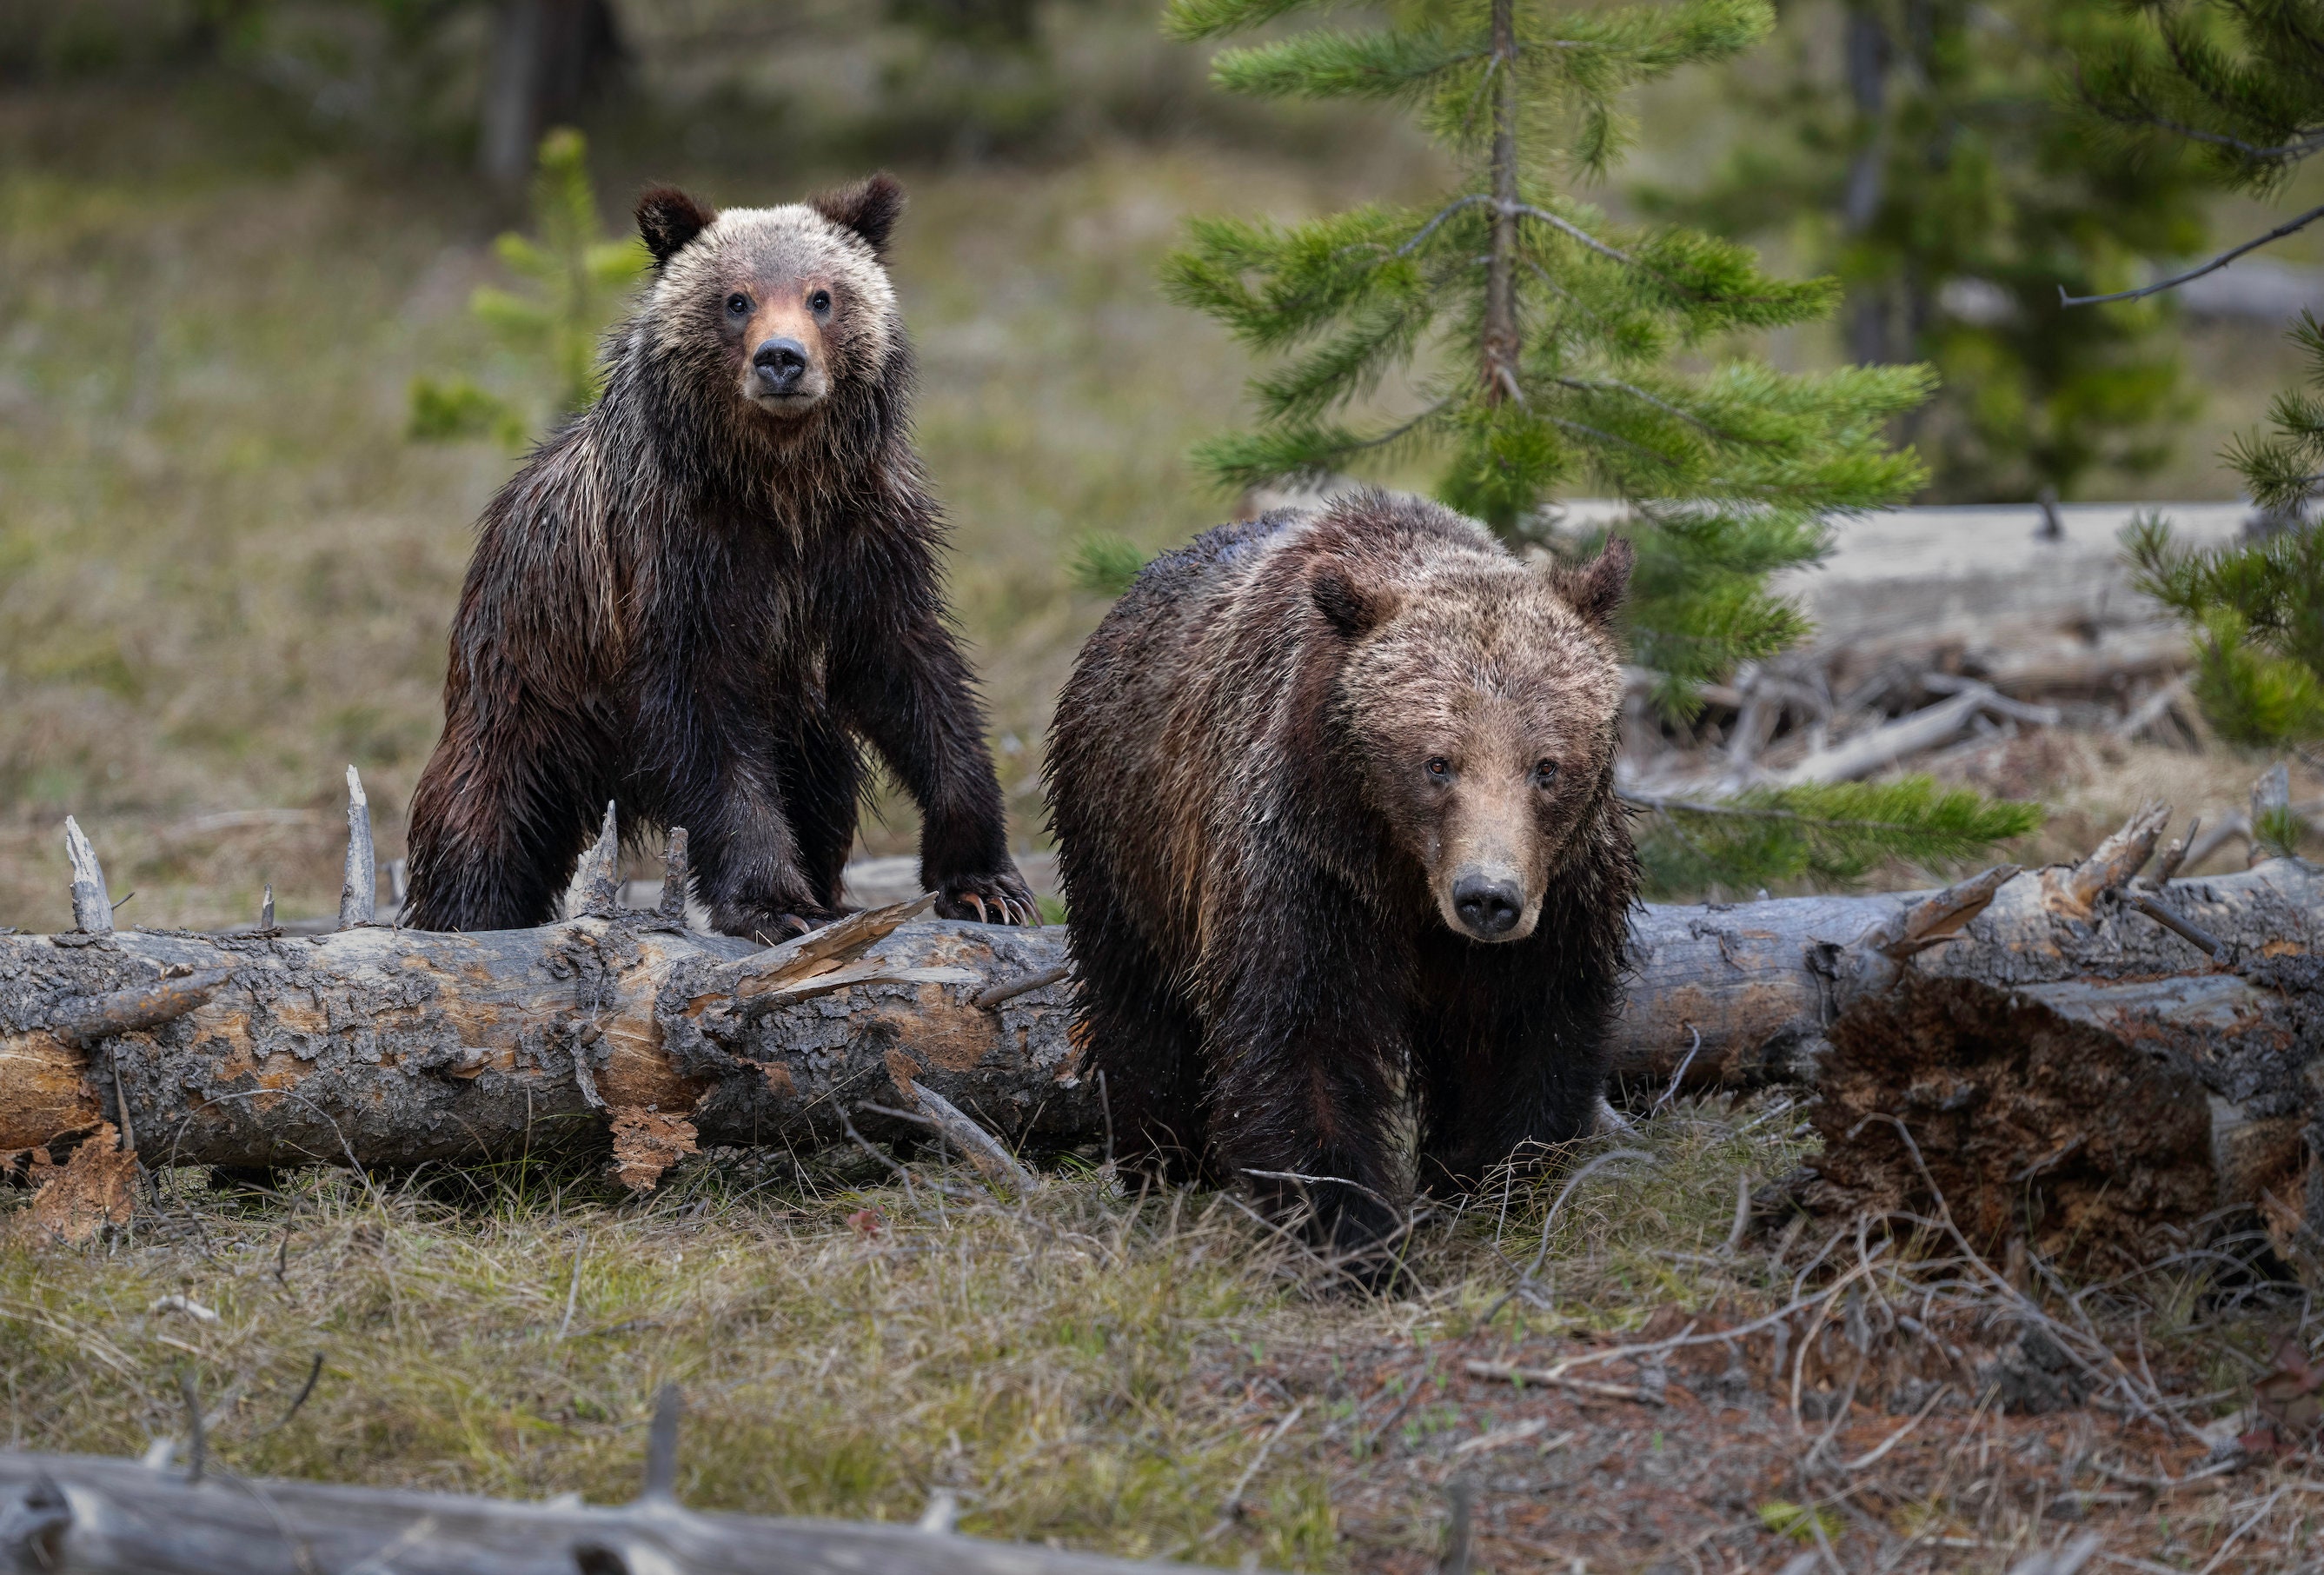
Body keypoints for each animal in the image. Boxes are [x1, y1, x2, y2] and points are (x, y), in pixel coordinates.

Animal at [403, 175, 1035, 939]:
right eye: (736, 299)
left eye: (822, 295)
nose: (782, 359)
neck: (778, 486)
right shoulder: (681, 564)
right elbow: (707, 731)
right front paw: (772, 901)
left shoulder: (862, 547)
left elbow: (914, 682)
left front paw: (984, 883)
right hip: (526, 700)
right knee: (486, 821)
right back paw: (467, 913)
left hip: (795, 725)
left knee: (822, 792)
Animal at [1045, 489, 1637, 1269]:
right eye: (1437, 763)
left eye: (1547, 766)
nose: (1487, 899)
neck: (1404, 871)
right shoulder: (1309, 870)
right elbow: (1305, 1040)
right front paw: (1354, 1238)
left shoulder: (1560, 888)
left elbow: (1522, 1030)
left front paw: (1488, 1183)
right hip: (1126, 837)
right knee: (1139, 1006)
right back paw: (1166, 1167)